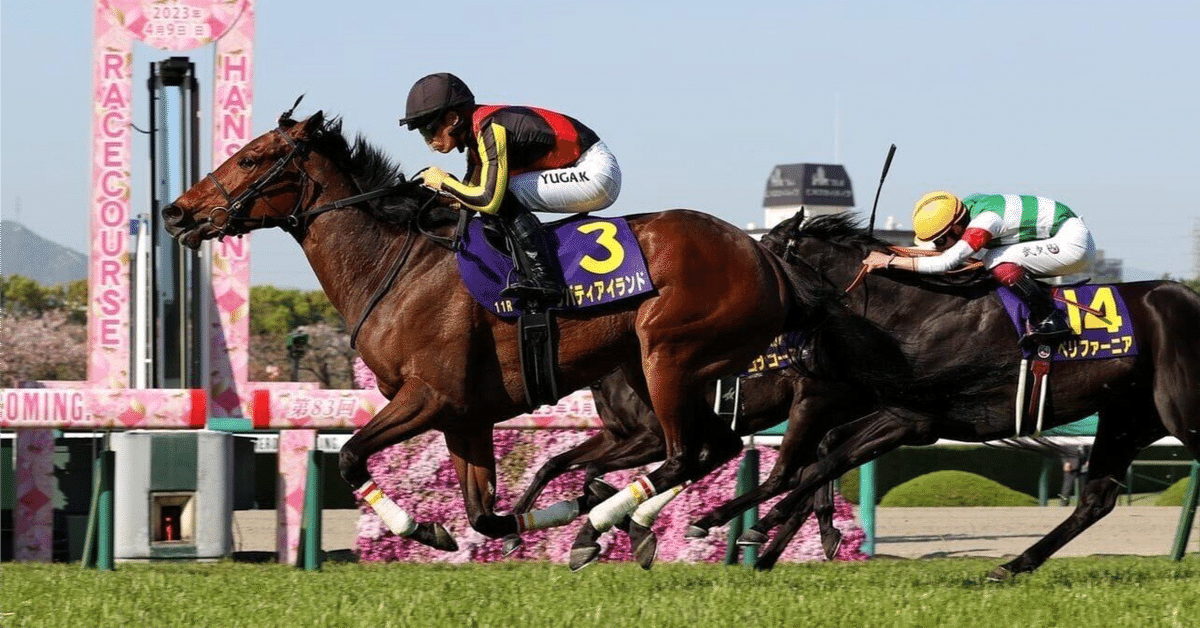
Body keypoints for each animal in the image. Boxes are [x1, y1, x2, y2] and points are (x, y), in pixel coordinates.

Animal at [161, 108, 833, 555]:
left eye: (251, 158)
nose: (176, 212)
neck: (398, 264)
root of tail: (763, 254)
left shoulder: (429, 397)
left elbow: (351, 456)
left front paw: (424, 529)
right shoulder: (466, 417)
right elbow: (484, 515)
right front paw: (518, 521)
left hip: (669, 357)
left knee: (686, 454)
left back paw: (604, 523)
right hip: (659, 372)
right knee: (711, 448)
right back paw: (611, 518)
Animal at [687, 211, 1200, 579]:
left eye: (758, 259)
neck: (912, 312)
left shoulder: (913, 420)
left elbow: (815, 465)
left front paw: (746, 527)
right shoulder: (899, 411)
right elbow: (824, 460)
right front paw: (768, 533)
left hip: (1179, 411)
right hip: (1129, 416)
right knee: (1096, 500)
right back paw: (1012, 566)